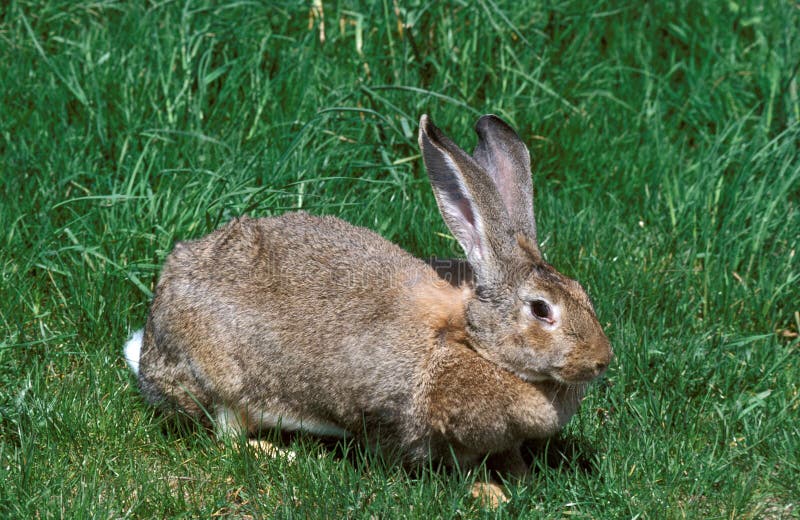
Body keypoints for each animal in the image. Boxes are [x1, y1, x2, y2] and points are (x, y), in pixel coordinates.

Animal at [124, 114, 612, 501]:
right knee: (228, 436)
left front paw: (520, 480)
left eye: (582, 293)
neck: (470, 339)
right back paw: (290, 455)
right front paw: (488, 493)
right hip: (222, 379)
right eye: (541, 310)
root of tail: (148, 352)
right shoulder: (402, 418)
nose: (602, 360)